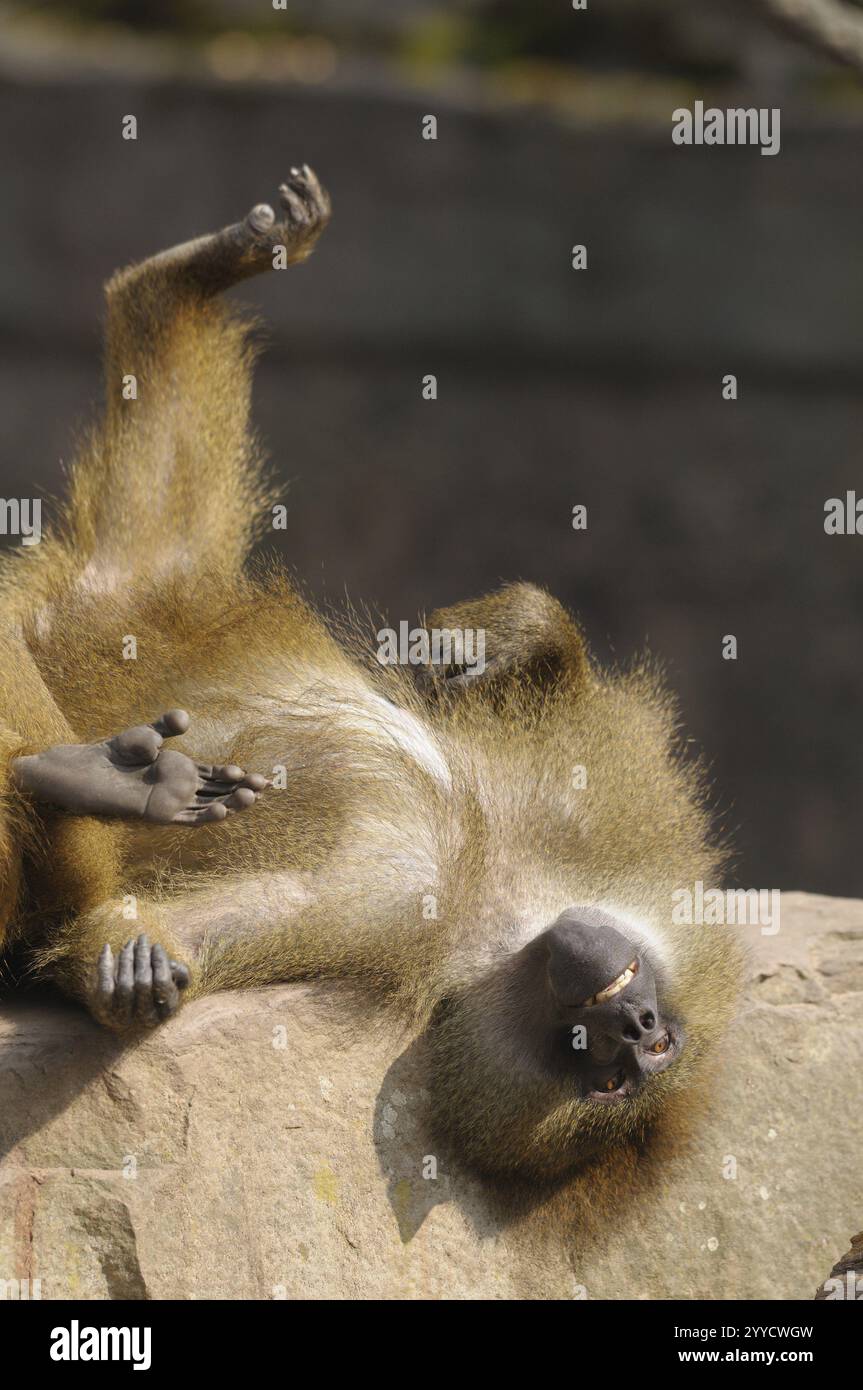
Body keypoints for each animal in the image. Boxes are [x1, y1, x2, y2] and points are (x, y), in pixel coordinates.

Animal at [0, 165, 742, 1180]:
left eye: (622, 1071)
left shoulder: (380, 915)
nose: (627, 1023)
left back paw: (94, 782)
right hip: (144, 584)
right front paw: (493, 642)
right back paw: (199, 268)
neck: (490, 867)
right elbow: (560, 683)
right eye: (647, 1040)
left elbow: (233, 924)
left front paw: (122, 962)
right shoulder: (606, 796)